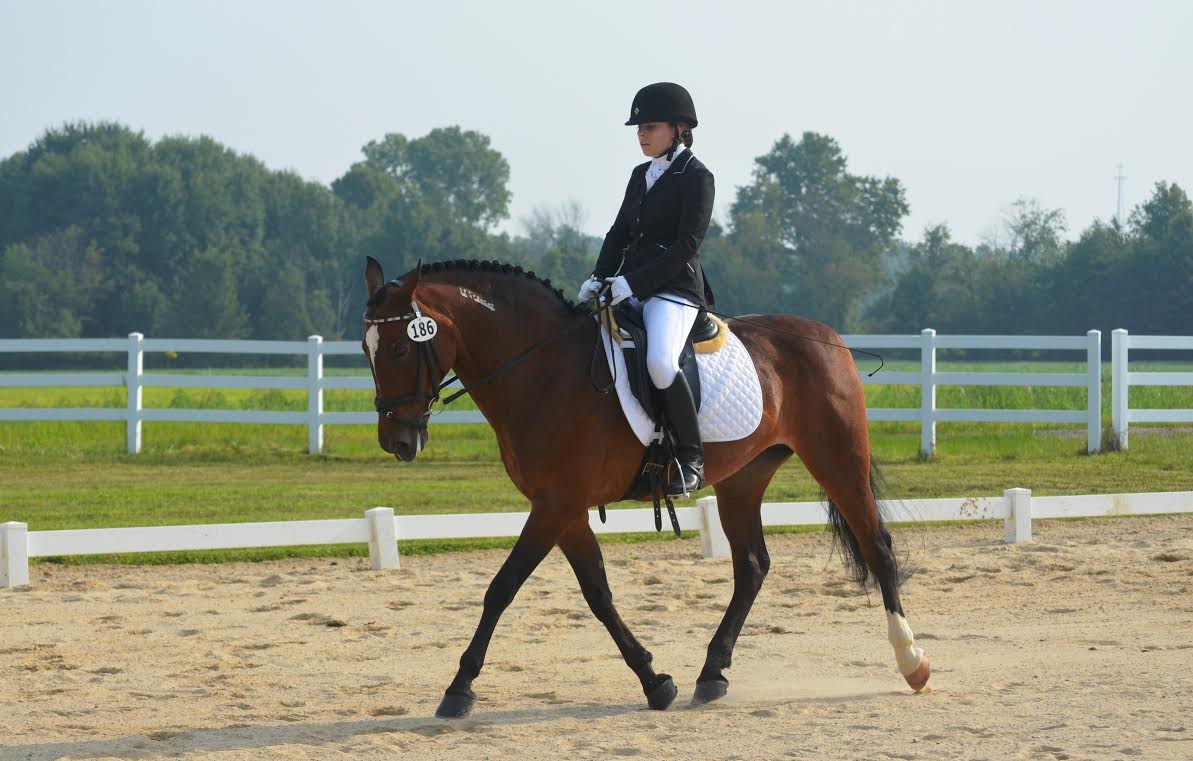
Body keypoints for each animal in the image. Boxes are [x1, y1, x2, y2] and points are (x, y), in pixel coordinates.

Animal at [361, 257, 930, 718]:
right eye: (368, 351)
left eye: (398, 348)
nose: (397, 440)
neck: (541, 372)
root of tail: (826, 335)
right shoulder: (564, 509)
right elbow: (597, 593)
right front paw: (655, 682)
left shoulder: (554, 506)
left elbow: (501, 588)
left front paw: (458, 690)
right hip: (744, 478)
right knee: (752, 565)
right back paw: (712, 674)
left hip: (837, 457)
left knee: (877, 548)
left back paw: (912, 663)